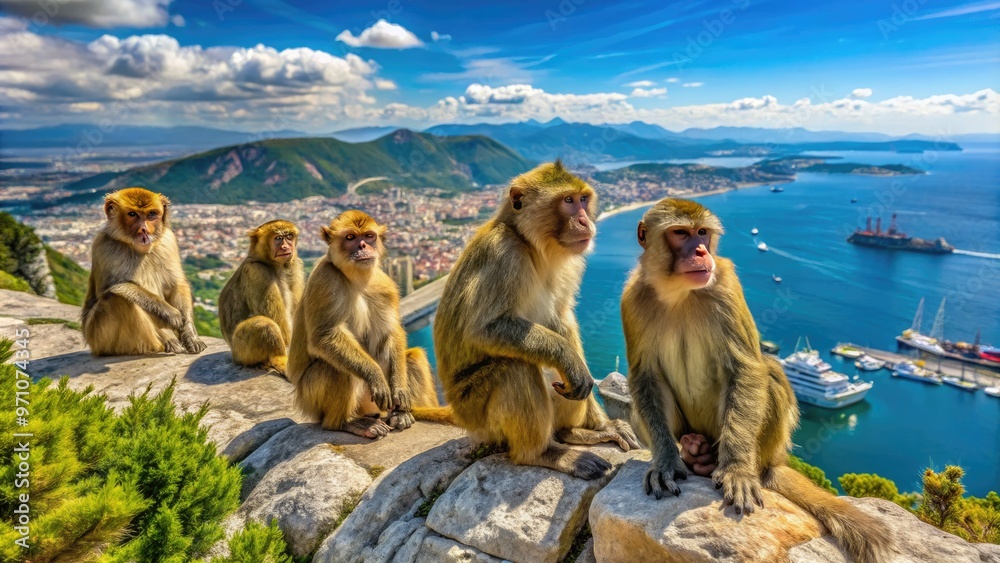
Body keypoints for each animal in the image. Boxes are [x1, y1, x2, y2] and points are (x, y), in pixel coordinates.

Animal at [81, 187, 207, 356]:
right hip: (98, 339)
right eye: (132, 214)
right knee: (115, 298)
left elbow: (176, 284)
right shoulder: (103, 246)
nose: (144, 230)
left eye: (152, 214)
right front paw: (169, 314)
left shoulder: (168, 240)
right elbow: (111, 288)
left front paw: (189, 333)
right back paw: (162, 341)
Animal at [218, 220, 304, 375]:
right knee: (264, 324)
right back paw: (280, 359)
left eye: (288, 236)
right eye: (278, 238)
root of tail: (233, 355)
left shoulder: (295, 265)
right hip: (241, 351)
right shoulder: (258, 273)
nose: (285, 246)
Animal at [286, 210, 444, 439]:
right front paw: (375, 375)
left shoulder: (383, 283)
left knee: (410, 357)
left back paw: (400, 413)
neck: (356, 278)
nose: (363, 246)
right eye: (350, 237)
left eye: (369, 236)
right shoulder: (325, 279)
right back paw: (346, 423)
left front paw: (399, 389)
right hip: (311, 399)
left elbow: (391, 331)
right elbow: (326, 335)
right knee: (337, 369)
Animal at [434, 161, 640, 481]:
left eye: (582, 199)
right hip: (476, 413)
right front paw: (570, 360)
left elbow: (561, 320)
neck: (532, 245)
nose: (584, 221)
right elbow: (485, 330)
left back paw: (573, 432)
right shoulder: (503, 255)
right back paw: (544, 453)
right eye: (567, 201)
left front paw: (603, 423)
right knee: (515, 367)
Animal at [621, 198, 893, 562]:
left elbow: (746, 367)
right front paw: (665, 460)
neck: (679, 292)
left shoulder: (725, 286)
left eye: (702, 233)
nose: (701, 252)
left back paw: (725, 463)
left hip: (758, 445)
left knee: (771, 374)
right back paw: (692, 452)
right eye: (681, 234)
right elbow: (645, 378)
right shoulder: (632, 298)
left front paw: (737, 469)